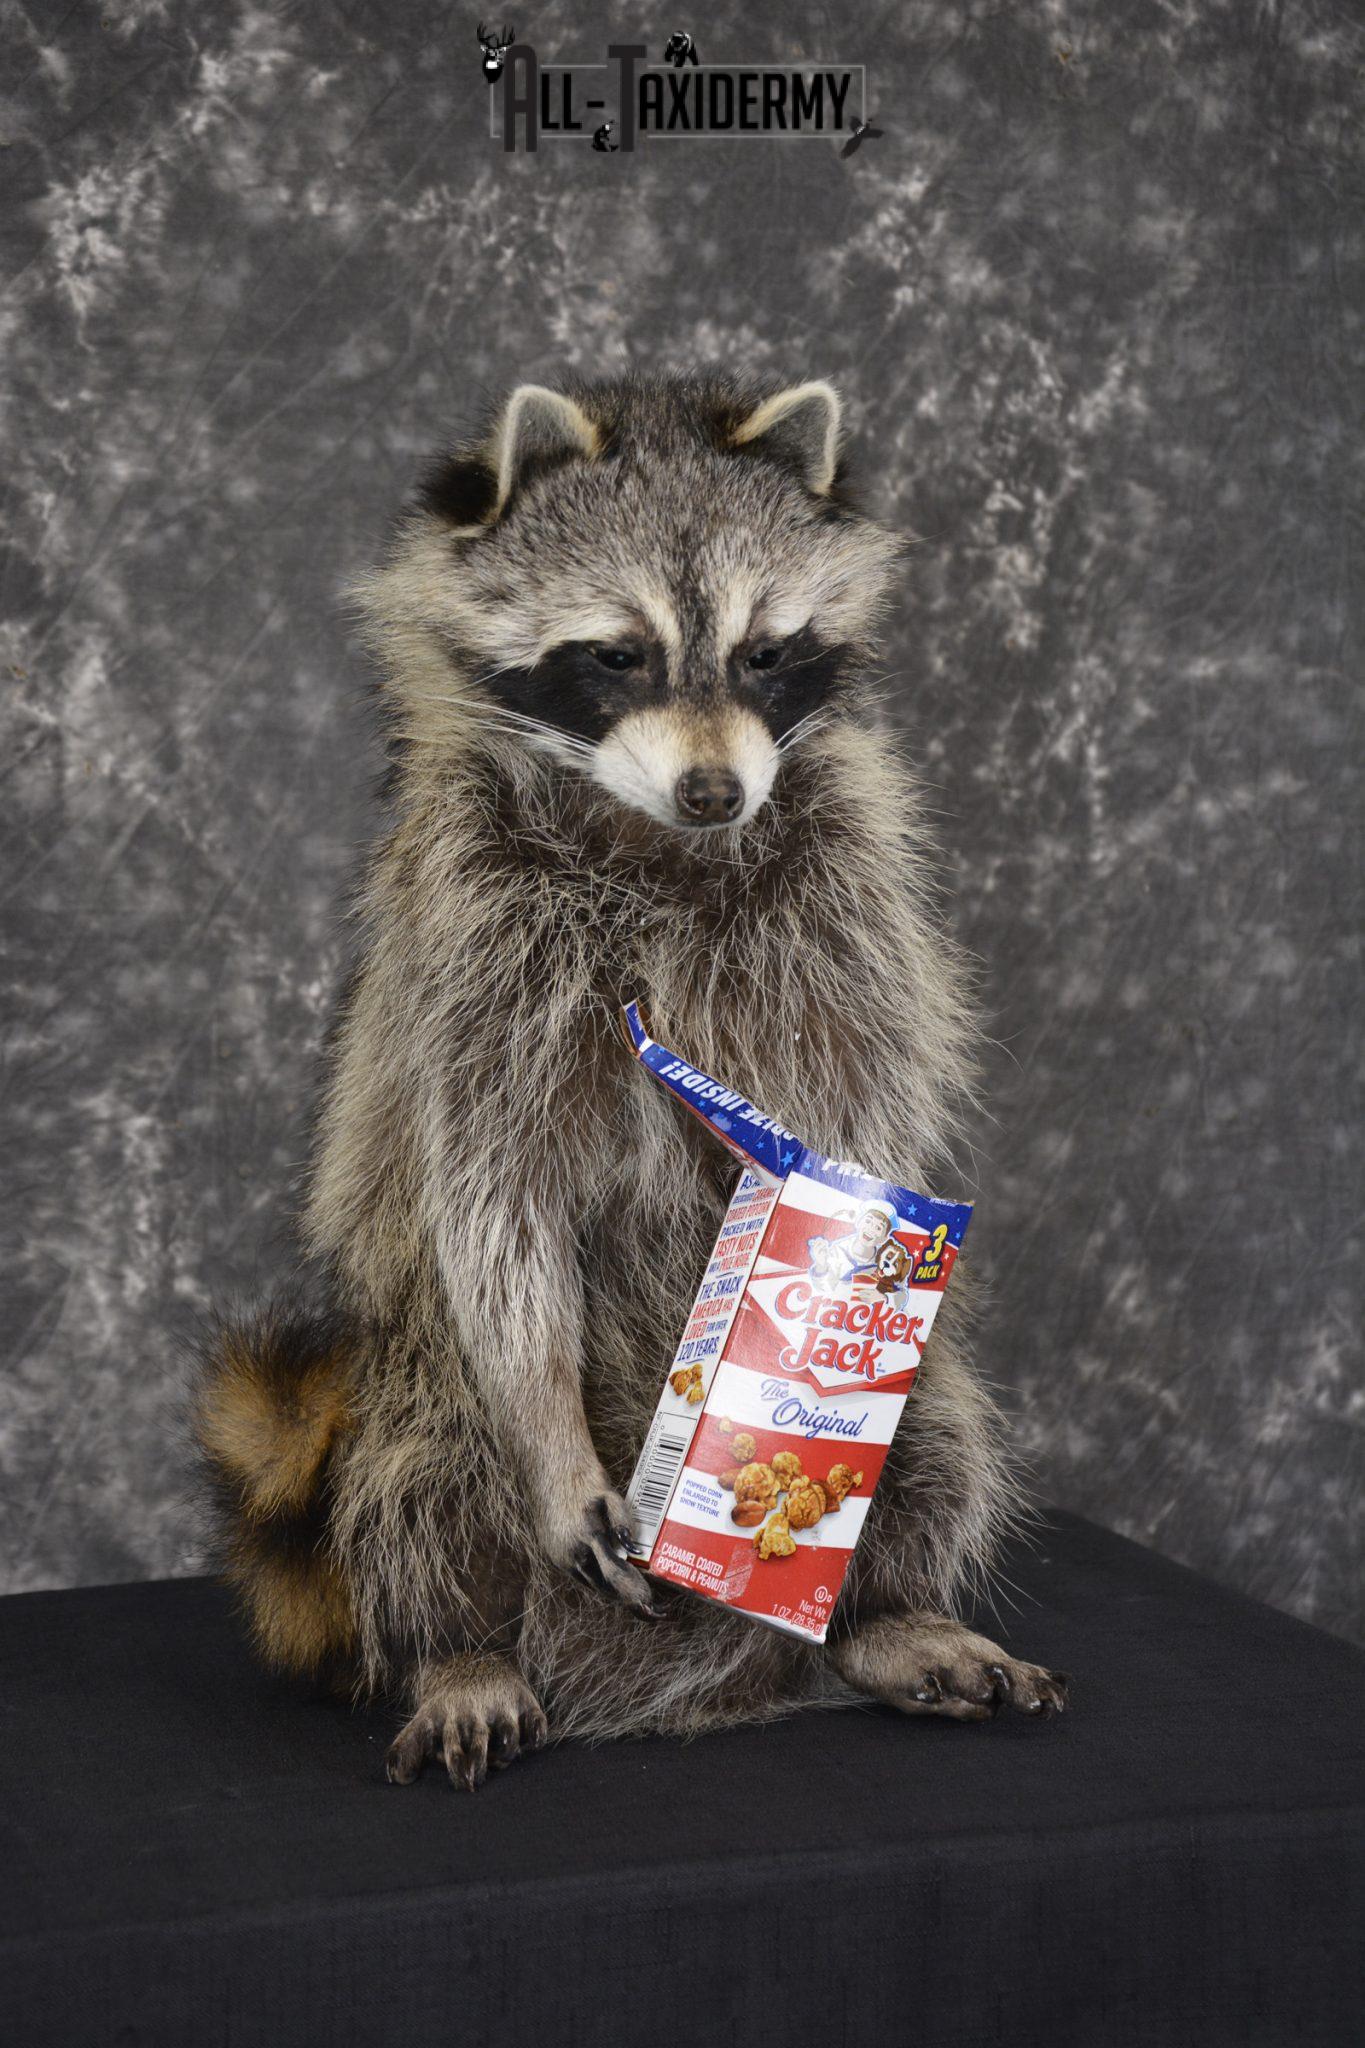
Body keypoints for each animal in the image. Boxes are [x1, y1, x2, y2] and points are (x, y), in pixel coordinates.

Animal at [194, 371, 1068, 1788]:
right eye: (618, 654)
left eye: (764, 651)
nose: (715, 789)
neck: (656, 837)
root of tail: (674, 1685)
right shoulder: (473, 937)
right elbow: (489, 1187)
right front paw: (546, 1450)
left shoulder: (850, 898)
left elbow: (861, 1119)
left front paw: (857, 1262)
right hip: (407, 1364)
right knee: (428, 1451)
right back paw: (459, 1640)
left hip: (910, 1414)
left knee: (937, 1421)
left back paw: (886, 1610)